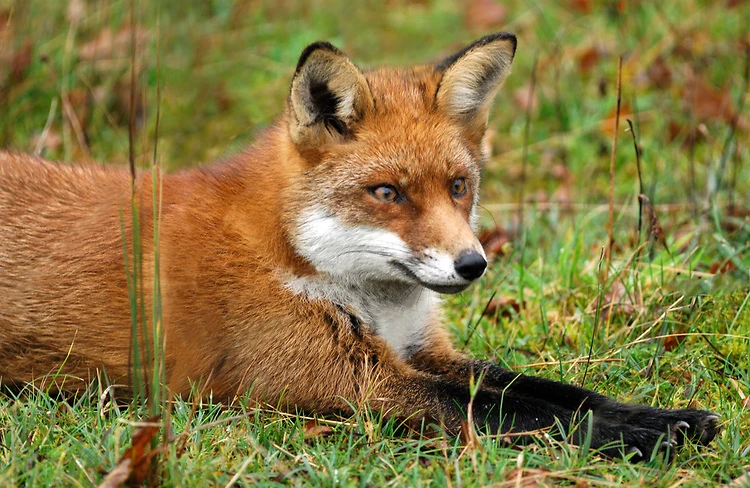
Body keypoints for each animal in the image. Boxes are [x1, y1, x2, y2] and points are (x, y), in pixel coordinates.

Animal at [0, 33, 718, 460]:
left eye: (459, 186)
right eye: (387, 193)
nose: (473, 265)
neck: (292, 256)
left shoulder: (420, 350)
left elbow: (554, 392)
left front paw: (664, 417)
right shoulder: (344, 382)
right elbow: (522, 412)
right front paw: (642, 435)